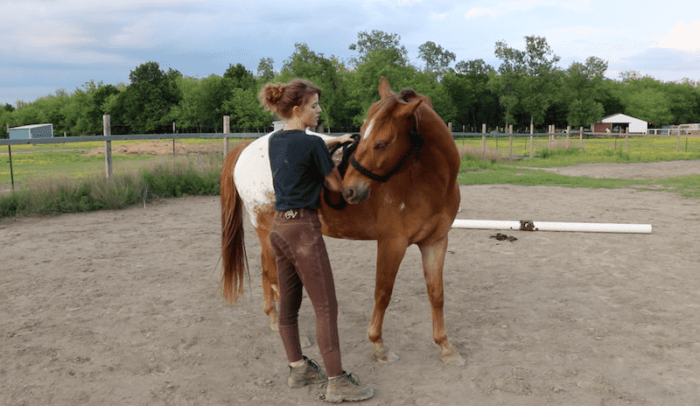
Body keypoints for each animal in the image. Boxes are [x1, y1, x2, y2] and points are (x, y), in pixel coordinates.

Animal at [220, 77, 465, 366]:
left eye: (382, 143)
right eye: (363, 132)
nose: (349, 189)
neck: (426, 182)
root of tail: (245, 149)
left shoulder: (435, 242)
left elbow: (436, 295)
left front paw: (446, 347)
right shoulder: (392, 243)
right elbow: (383, 292)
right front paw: (378, 345)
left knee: (266, 272)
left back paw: (272, 318)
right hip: (266, 227)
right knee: (272, 276)